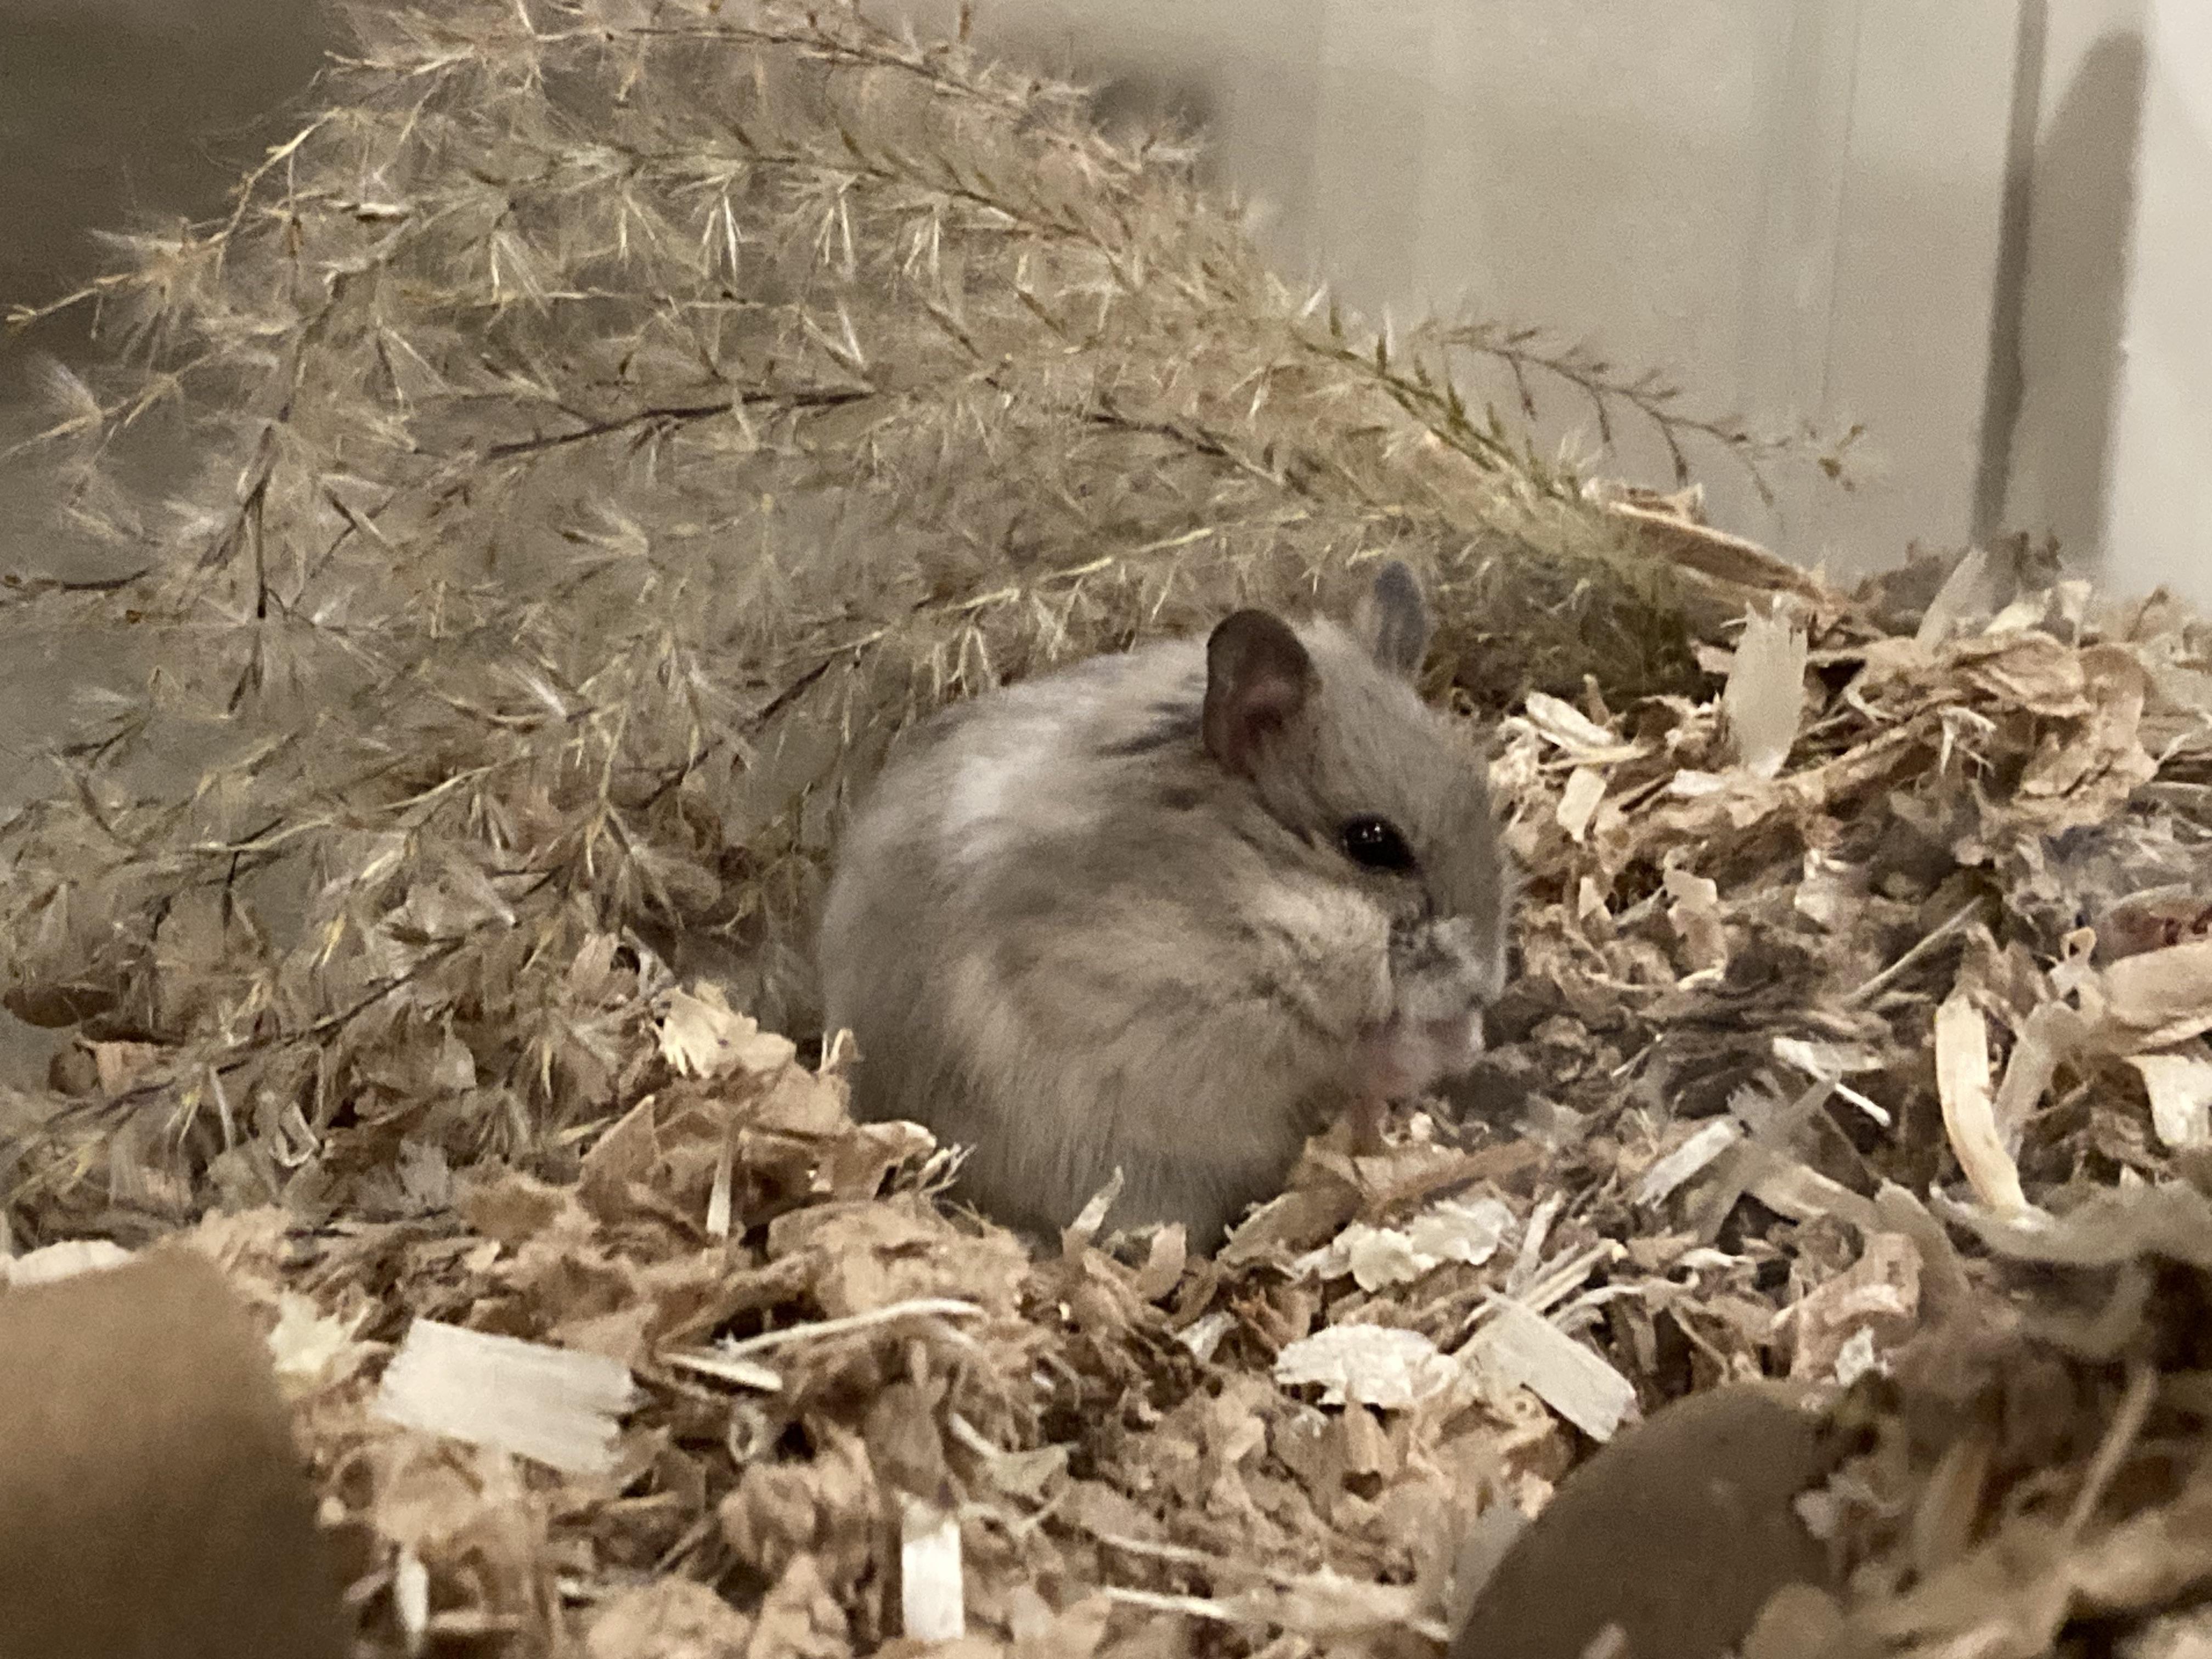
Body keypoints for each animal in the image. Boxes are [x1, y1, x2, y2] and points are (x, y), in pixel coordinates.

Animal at [816, 563, 1514, 1251]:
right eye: (1373, 842)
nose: (1488, 987)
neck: (1237, 896)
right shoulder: (1189, 1023)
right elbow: (1362, 1050)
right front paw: (1450, 1046)